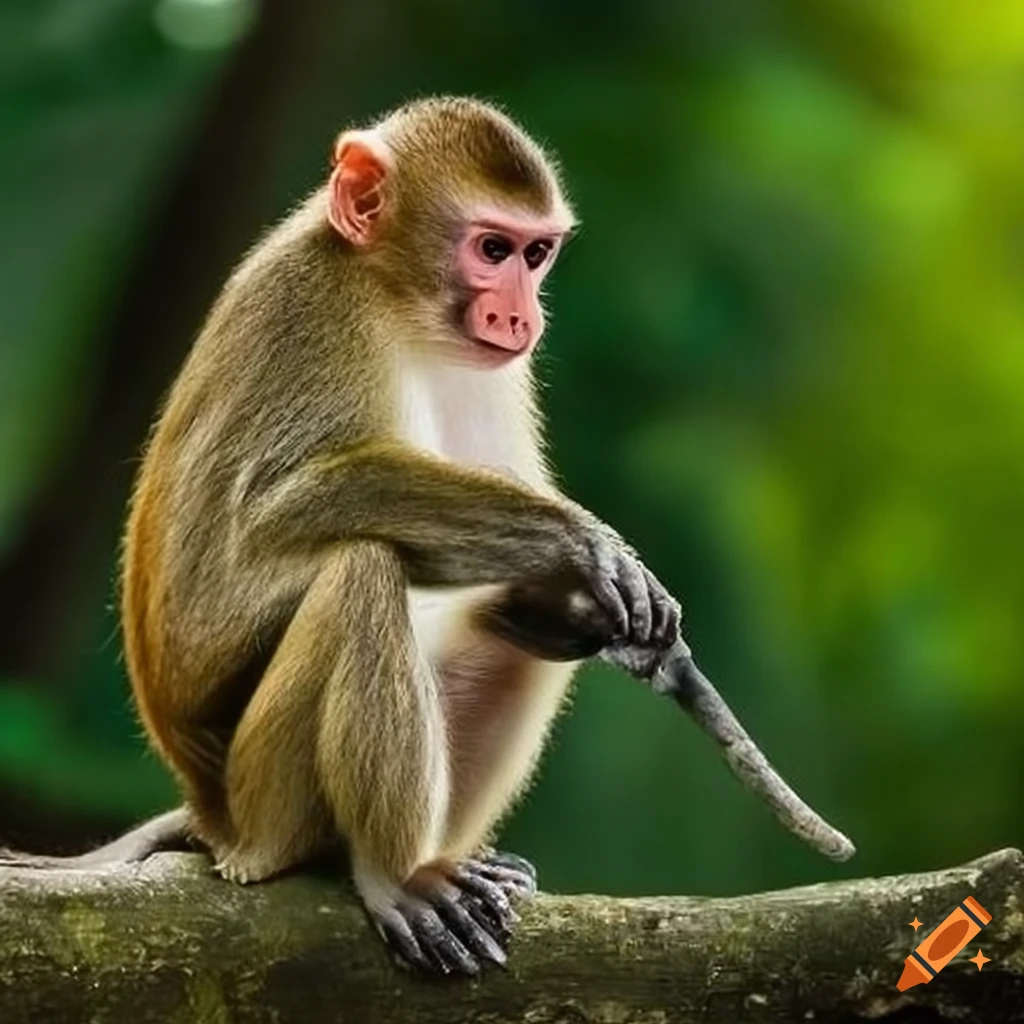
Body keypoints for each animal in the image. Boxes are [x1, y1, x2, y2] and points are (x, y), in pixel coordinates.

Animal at [0, 97, 682, 975]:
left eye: (536, 253)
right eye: (492, 249)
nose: (521, 313)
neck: (393, 299)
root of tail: (211, 812)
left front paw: (578, 589)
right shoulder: (320, 317)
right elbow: (270, 516)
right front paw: (575, 540)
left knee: (513, 636)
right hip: (266, 802)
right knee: (362, 568)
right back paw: (394, 874)